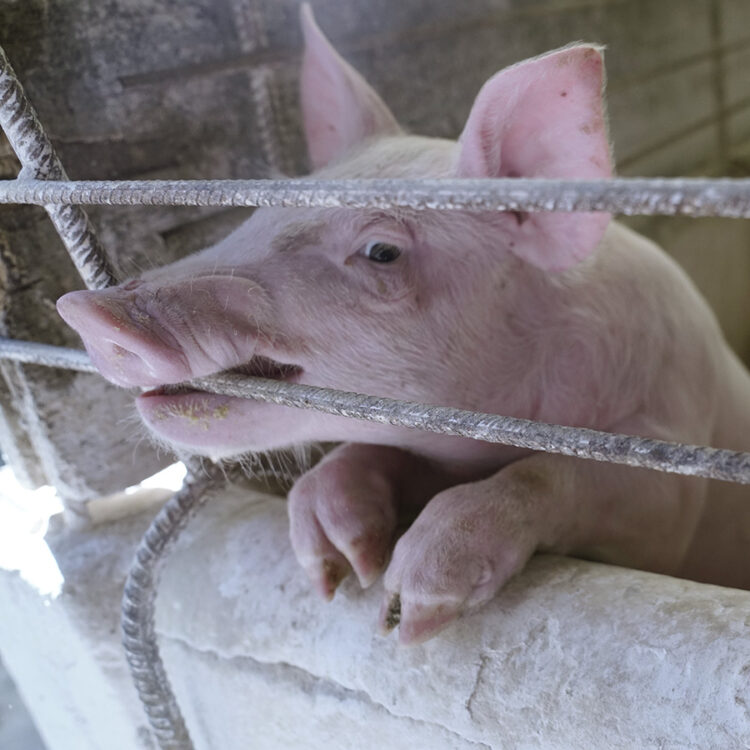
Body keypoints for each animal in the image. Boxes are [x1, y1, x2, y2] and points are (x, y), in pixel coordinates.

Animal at [57, 4, 750, 644]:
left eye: (382, 252)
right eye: (260, 210)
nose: (87, 310)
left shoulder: (670, 472)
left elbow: (564, 478)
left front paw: (406, 611)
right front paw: (337, 567)